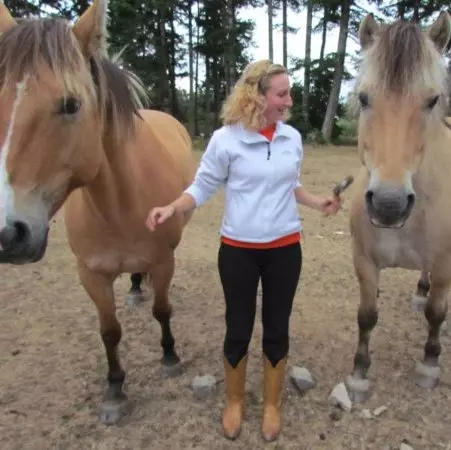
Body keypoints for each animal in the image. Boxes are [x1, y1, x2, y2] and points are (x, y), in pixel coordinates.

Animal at [0, 0, 196, 424]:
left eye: (70, 105)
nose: (8, 234)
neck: (116, 205)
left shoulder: (164, 261)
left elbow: (163, 310)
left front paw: (170, 357)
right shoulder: (90, 273)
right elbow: (109, 331)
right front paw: (115, 390)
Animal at [346, 11, 451, 404]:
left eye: (432, 100)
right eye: (363, 98)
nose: (389, 205)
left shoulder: (446, 265)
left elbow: (437, 313)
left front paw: (429, 364)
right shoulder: (364, 260)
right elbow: (367, 315)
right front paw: (359, 373)